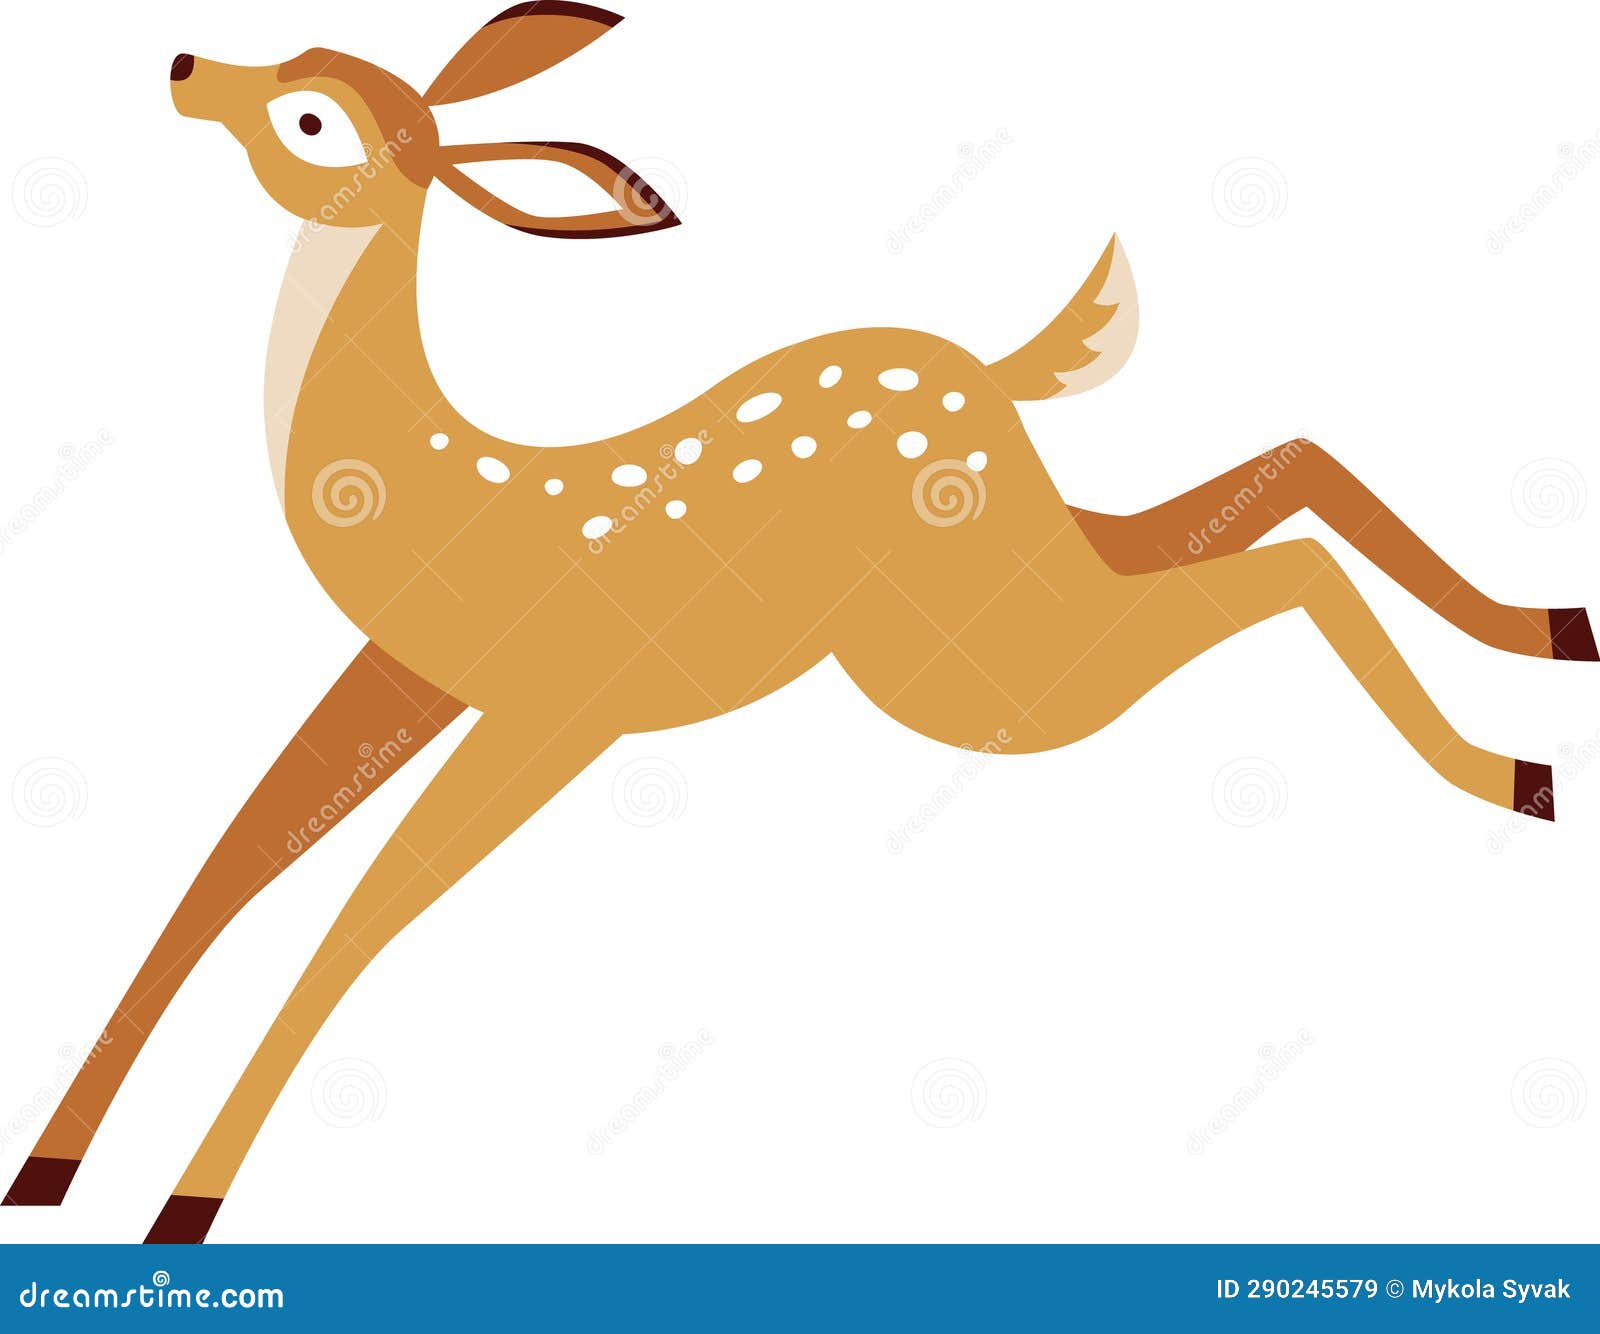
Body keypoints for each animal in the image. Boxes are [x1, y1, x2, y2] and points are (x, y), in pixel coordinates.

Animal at [5, 3, 1591, 1243]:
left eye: (316, 113)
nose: (182, 59)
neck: (438, 497)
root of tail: (988, 371)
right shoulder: (399, 673)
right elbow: (220, 873)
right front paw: (48, 1169)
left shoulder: (557, 708)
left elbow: (353, 919)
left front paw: (186, 1205)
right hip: (1016, 574)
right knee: (1285, 476)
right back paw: (1549, 633)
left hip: (978, 668)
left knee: (1274, 566)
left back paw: (1515, 766)